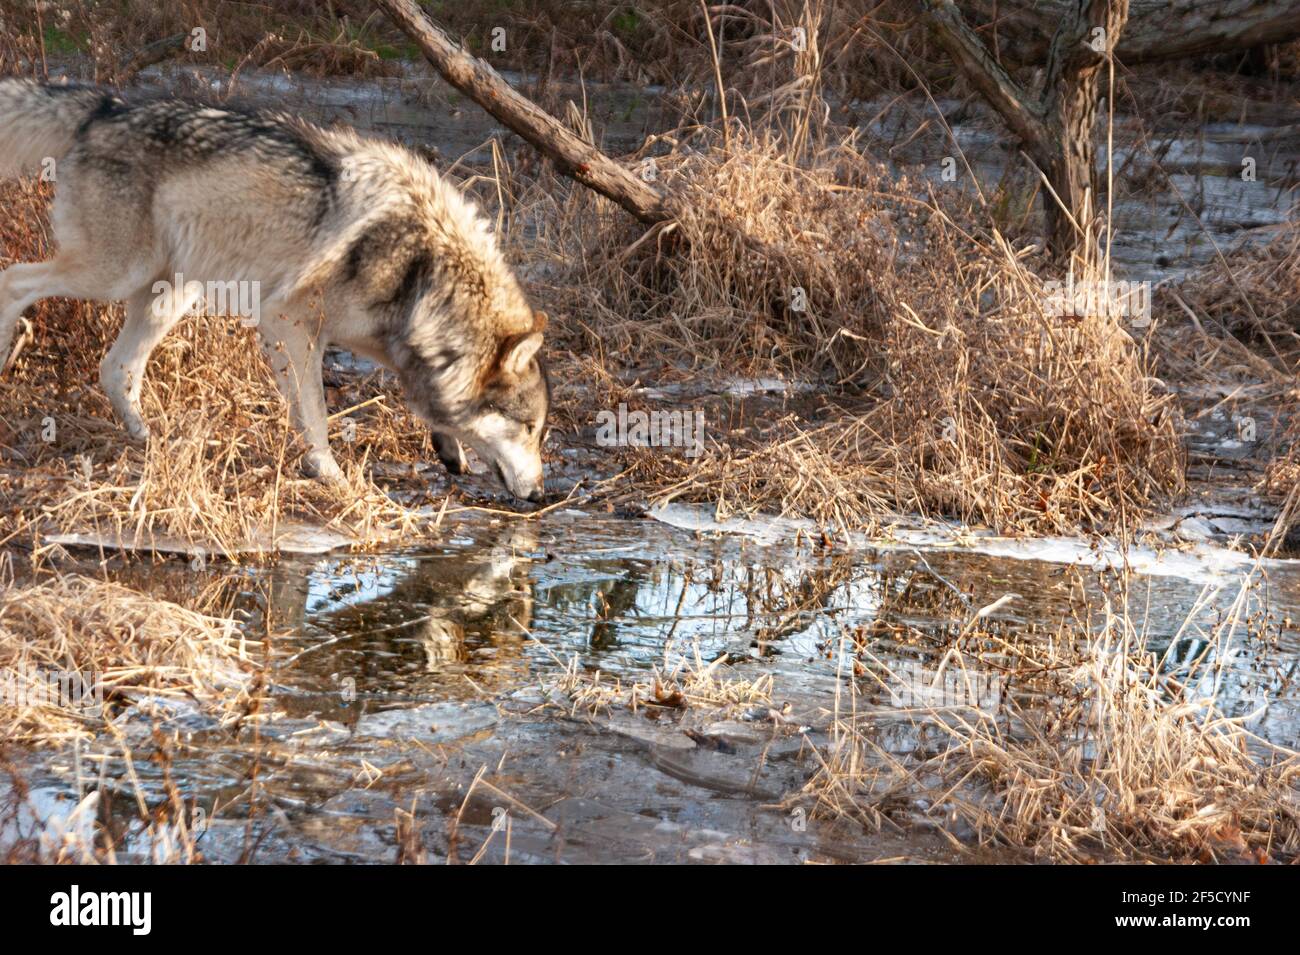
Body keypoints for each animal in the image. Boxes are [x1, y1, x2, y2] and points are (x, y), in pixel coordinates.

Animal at [0, 78, 549, 501]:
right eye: (530, 429)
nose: (542, 494)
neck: (425, 268)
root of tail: (105, 107)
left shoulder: (394, 341)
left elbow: (424, 395)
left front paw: (449, 449)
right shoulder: (289, 322)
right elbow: (316, 415)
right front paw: (334, 478)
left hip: (170, 293)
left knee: (115, 369)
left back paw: (150, 440)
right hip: (114, 276)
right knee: (15, 281)